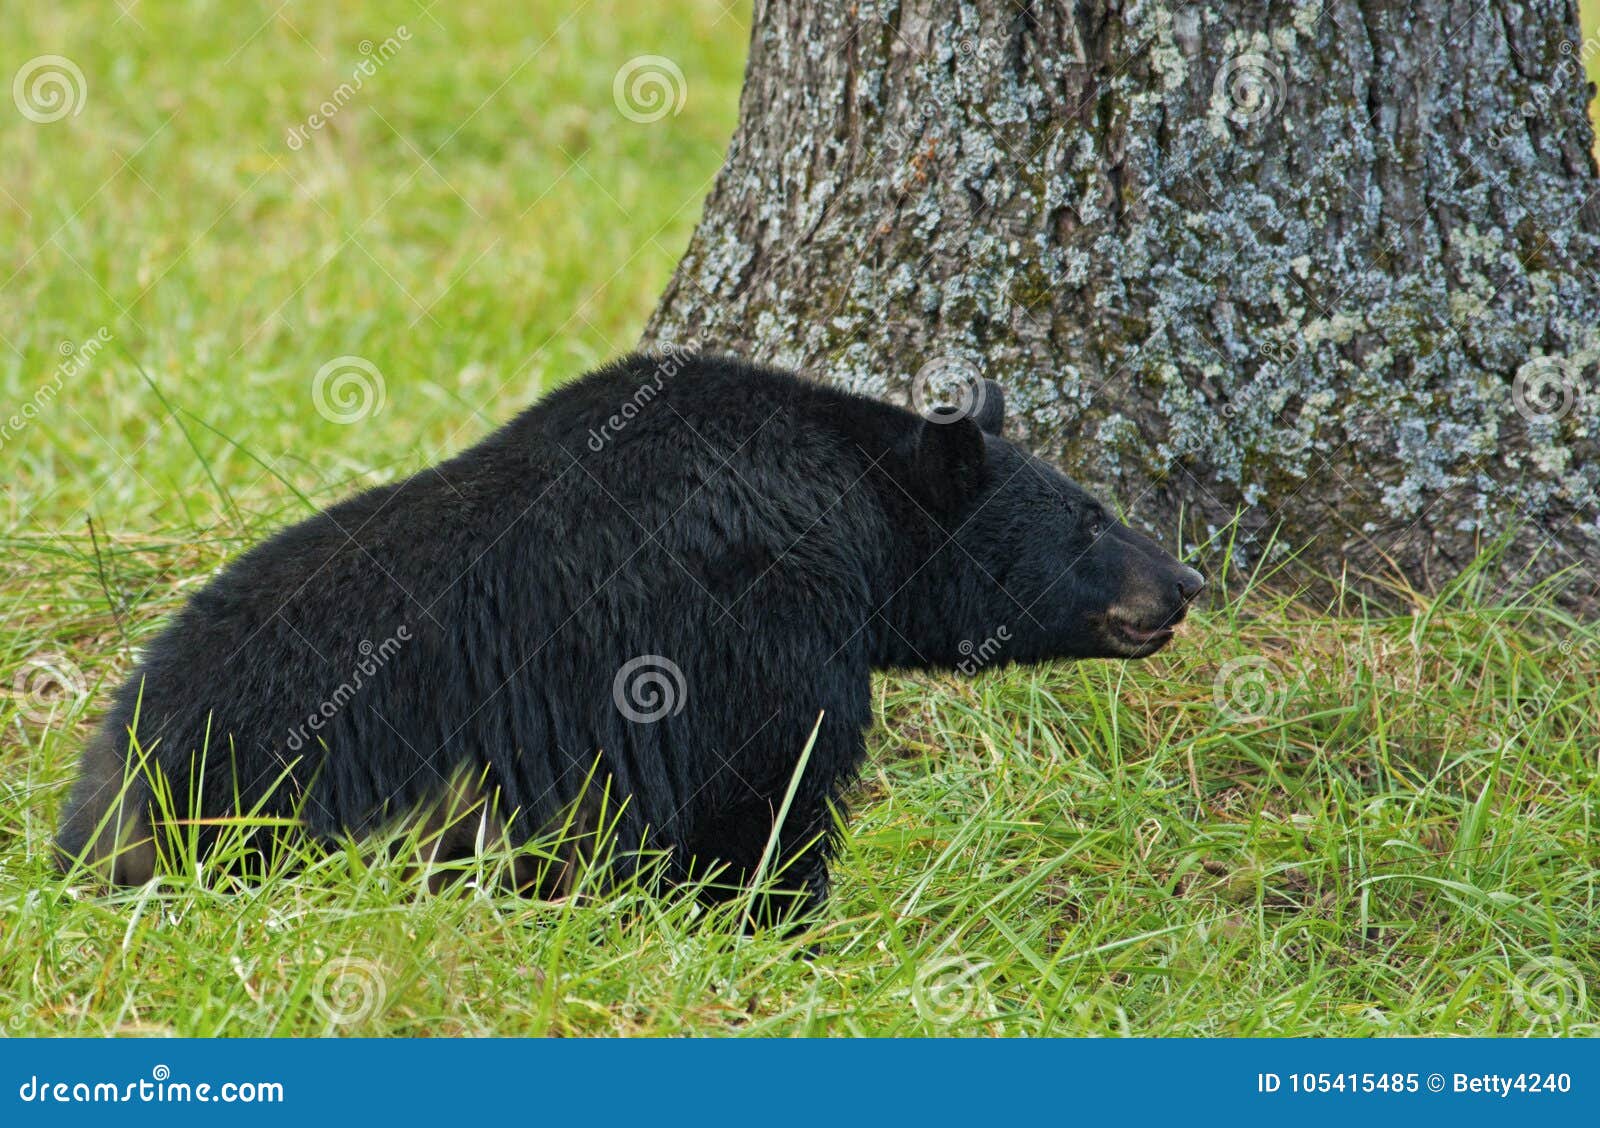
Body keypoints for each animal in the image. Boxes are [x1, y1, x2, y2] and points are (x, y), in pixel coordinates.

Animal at [55, 352, 1203, 922]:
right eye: (1090, 520)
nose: (1186, 581)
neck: (846, 514)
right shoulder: (746, 628)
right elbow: (767, 792)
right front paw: (772, 925)